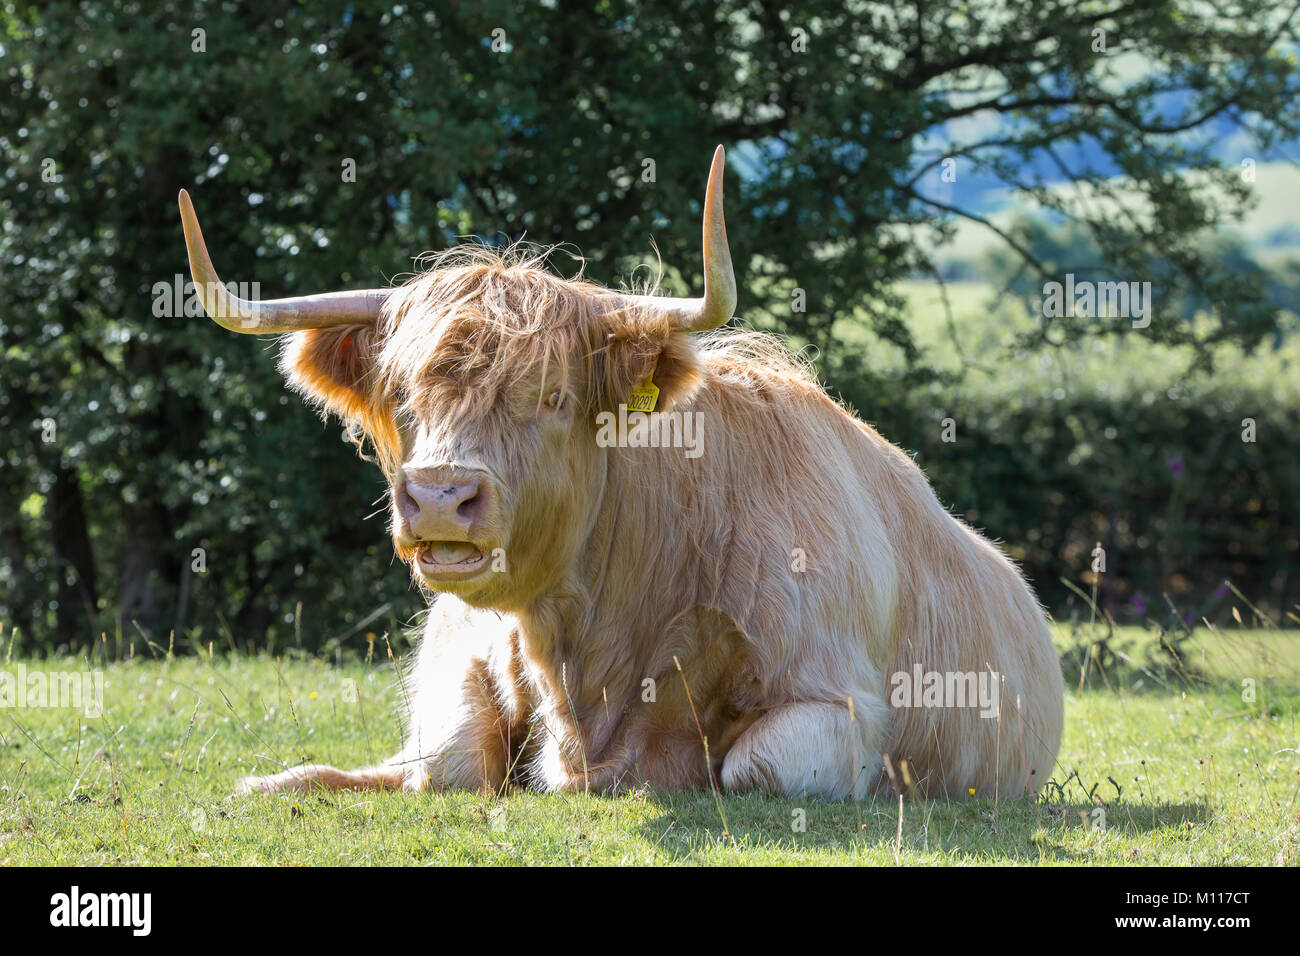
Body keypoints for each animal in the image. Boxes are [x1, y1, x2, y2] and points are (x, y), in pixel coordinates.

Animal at [179, 146, 1063, 801]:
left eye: (554, 395)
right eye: (400, 393)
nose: (438, 497)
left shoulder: (839, 705)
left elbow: (754, 767)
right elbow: (451, 761)